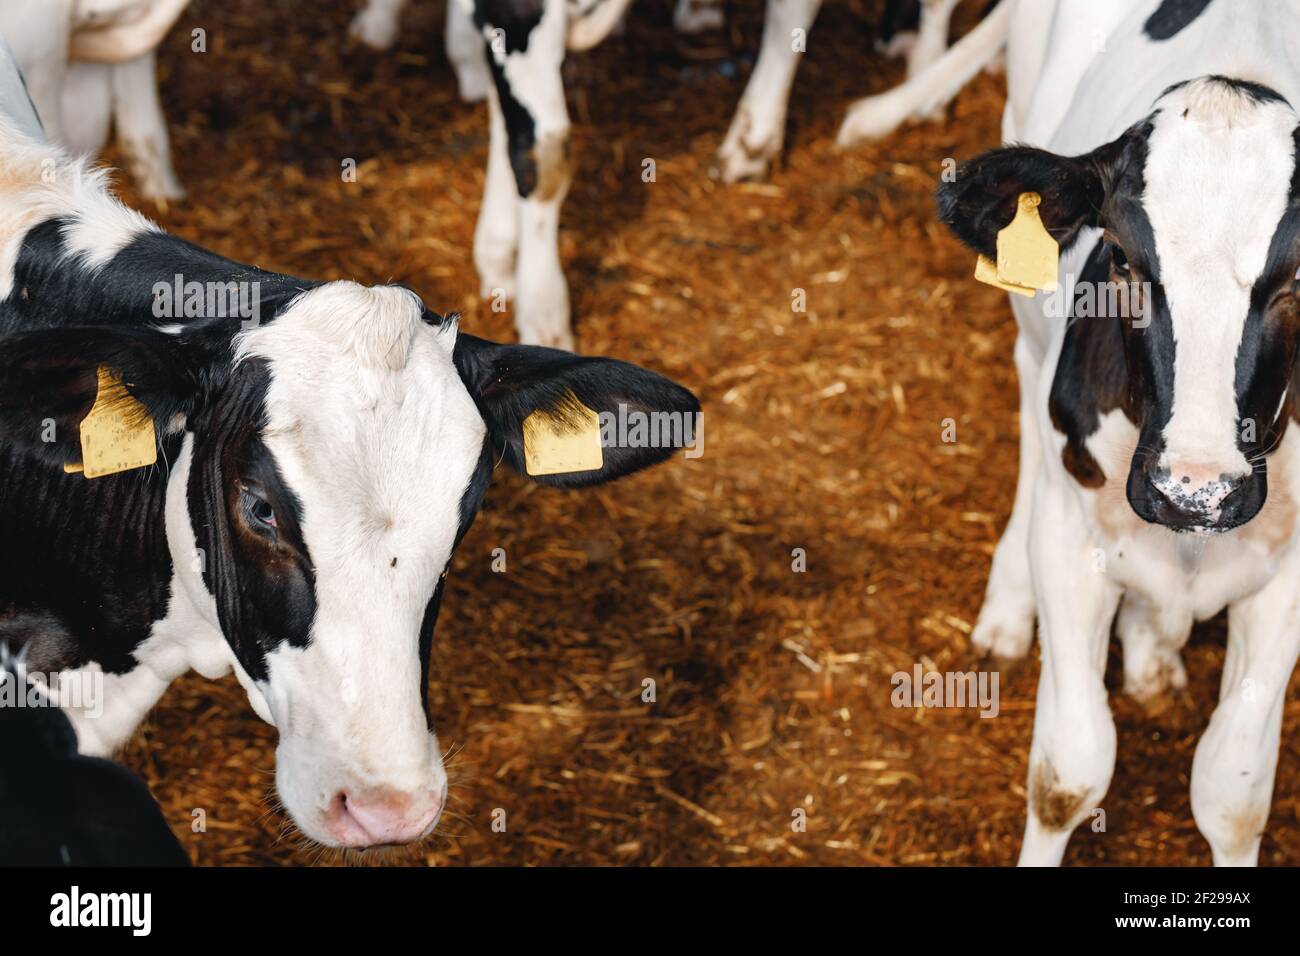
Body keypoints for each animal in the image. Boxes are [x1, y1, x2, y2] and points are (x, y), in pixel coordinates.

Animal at [938, 0, 1300, 866]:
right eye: (1126, 260)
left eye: (1298, 276)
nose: (1193, 491)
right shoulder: (1073, 543)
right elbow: (1067, 772)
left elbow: (1235, 791)